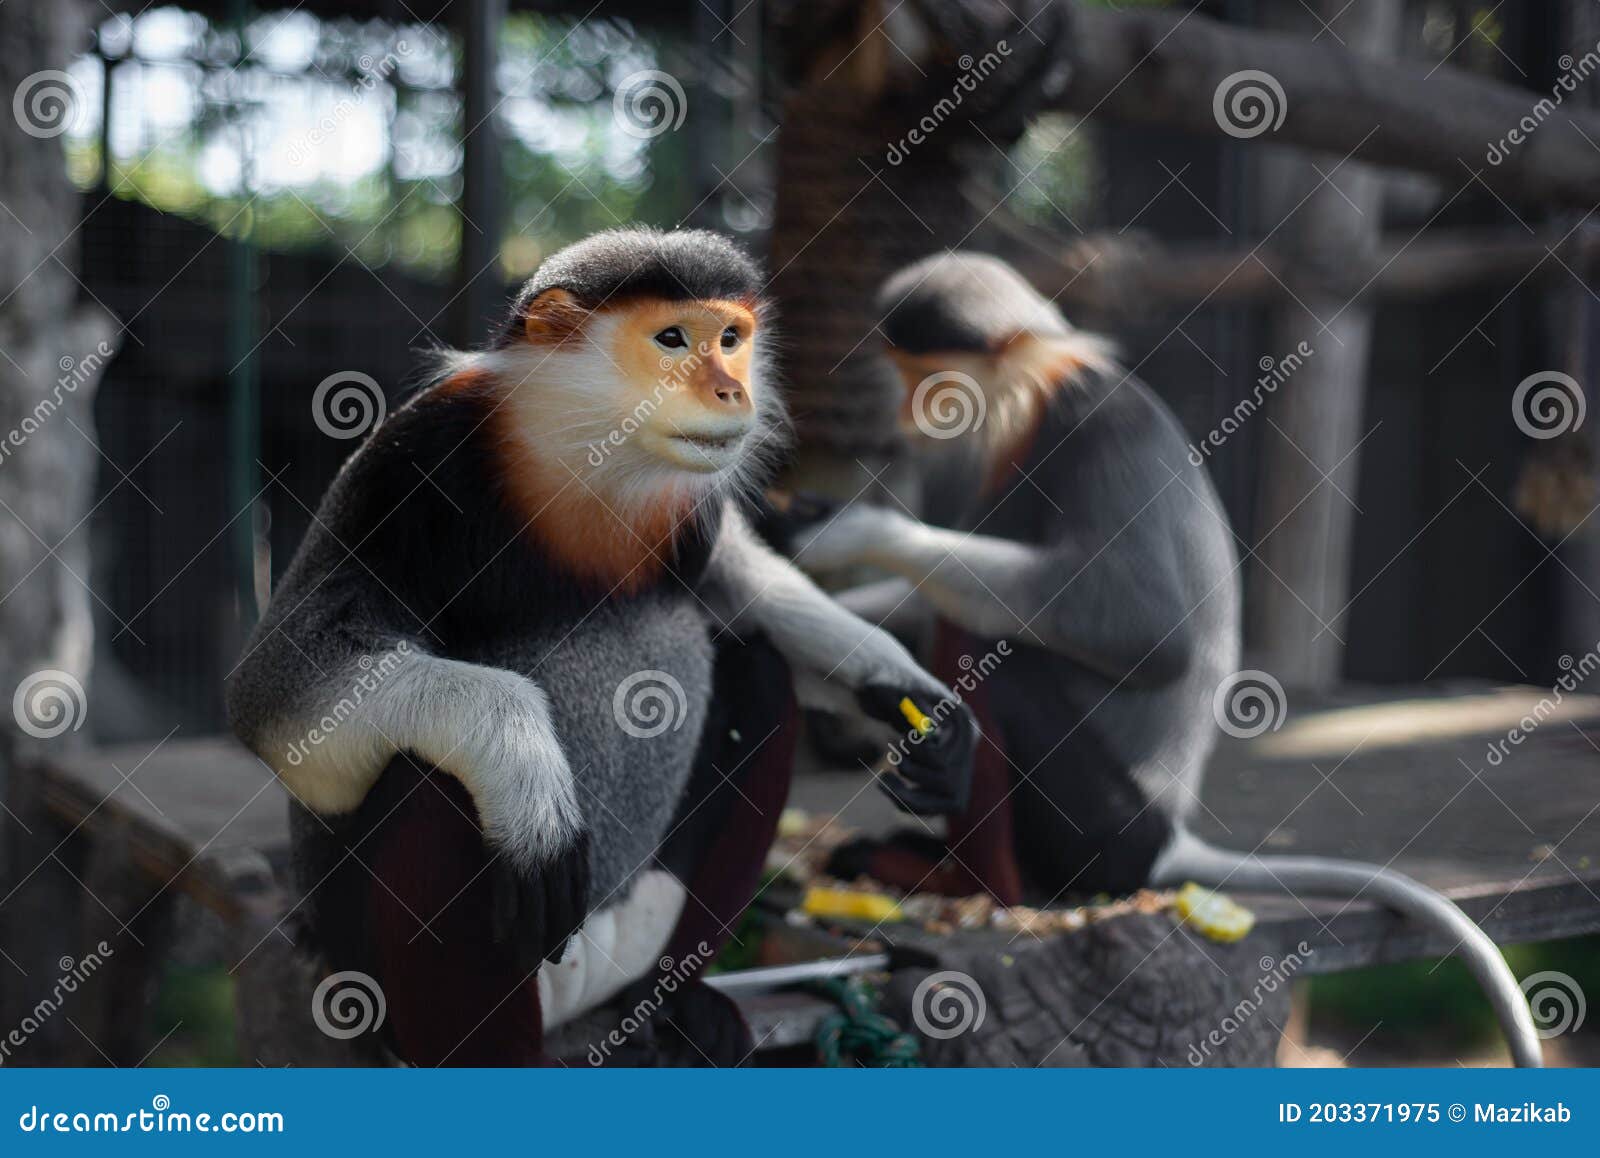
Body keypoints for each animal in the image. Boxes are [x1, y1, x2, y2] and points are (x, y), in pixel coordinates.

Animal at [225, 228, 977, 1065]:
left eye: (730, 339)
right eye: (672, 339)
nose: (731, 391)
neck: (586, 458)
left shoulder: (692, 509)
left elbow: (738, 586)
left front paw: (909, 697)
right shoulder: (405, 468)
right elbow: (273, 690)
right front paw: (527, 777)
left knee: (761, 670)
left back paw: (675, 1004)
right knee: (429, 776)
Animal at [790, 250, 1543, 1068]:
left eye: (929, 379)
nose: (908, 414)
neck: (1031, 405)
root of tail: (1167, 841)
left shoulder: (1094, 422)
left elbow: (1147, 634)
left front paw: (849, 534)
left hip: (1108, 831)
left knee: (995, 650)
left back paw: (975, 883)